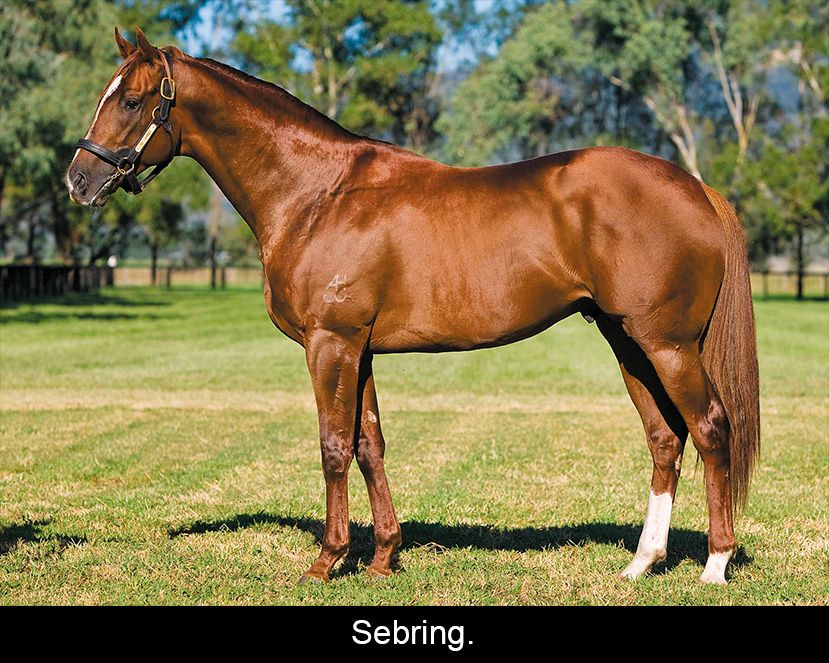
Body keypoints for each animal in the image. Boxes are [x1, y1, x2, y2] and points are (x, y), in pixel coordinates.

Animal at [66, 28, 760, 586]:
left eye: (132, 100)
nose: (78, 180)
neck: (317, 193)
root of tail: (695, 188)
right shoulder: (361, 348)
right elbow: (369, 444)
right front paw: (381, 557)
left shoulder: (331, 342)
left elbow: (333, 445)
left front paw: (327, 560)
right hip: (626, 341)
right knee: (665, 439)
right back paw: (642, 562)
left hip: (667, 344)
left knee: (710, 428)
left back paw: (715, 564)